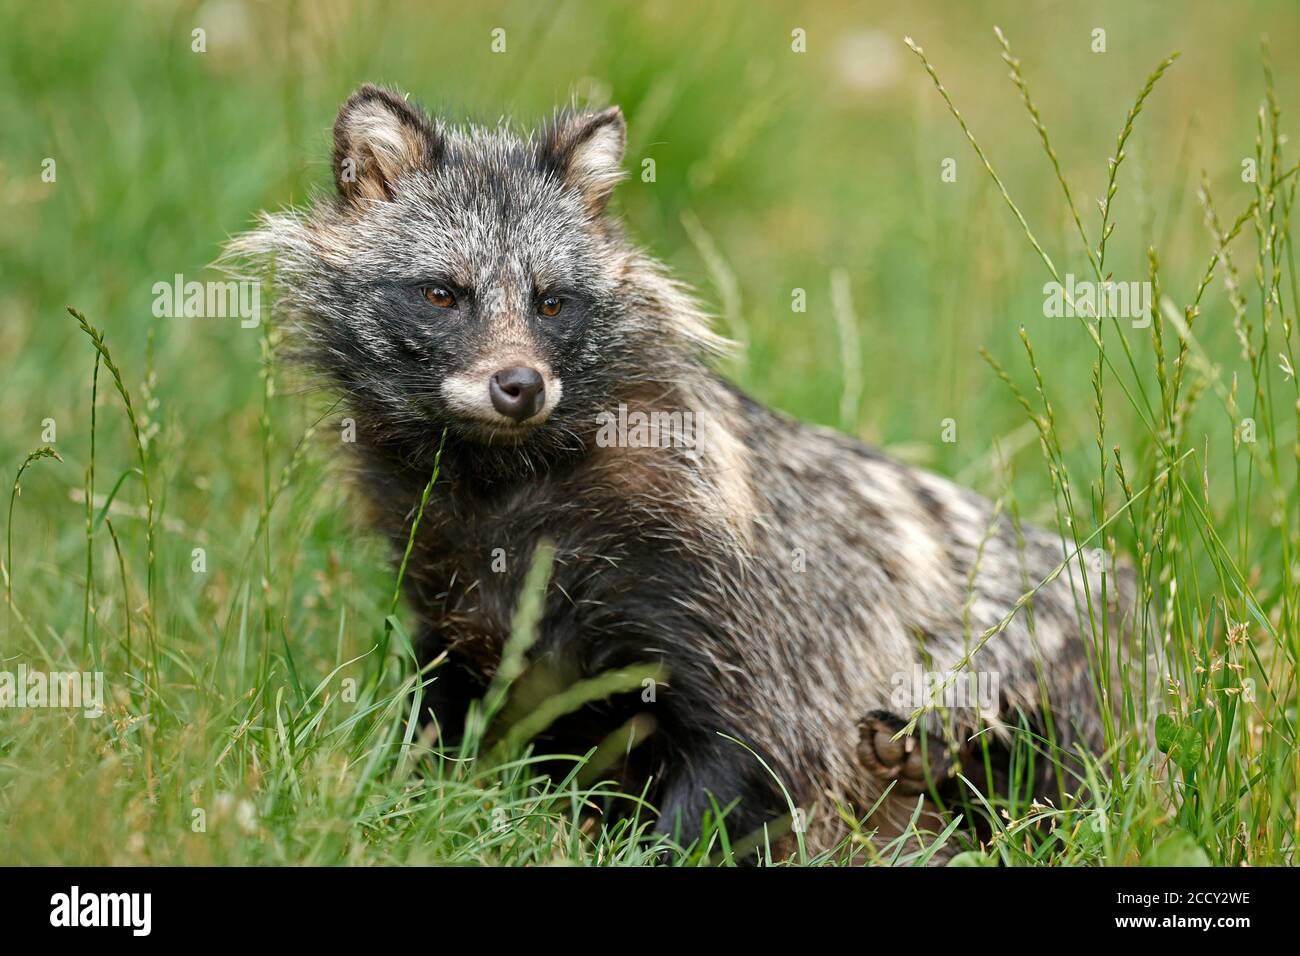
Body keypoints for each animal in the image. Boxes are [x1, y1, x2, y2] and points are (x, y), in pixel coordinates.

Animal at [227, 84, 1143, 855]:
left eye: (554, 301)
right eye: (441, 294)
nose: (518, 385)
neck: (510, 491)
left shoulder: (718, 594)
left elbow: (752, 750)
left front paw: (659, 846)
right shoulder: (448, 589)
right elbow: (442, 712)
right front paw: (406, 792)